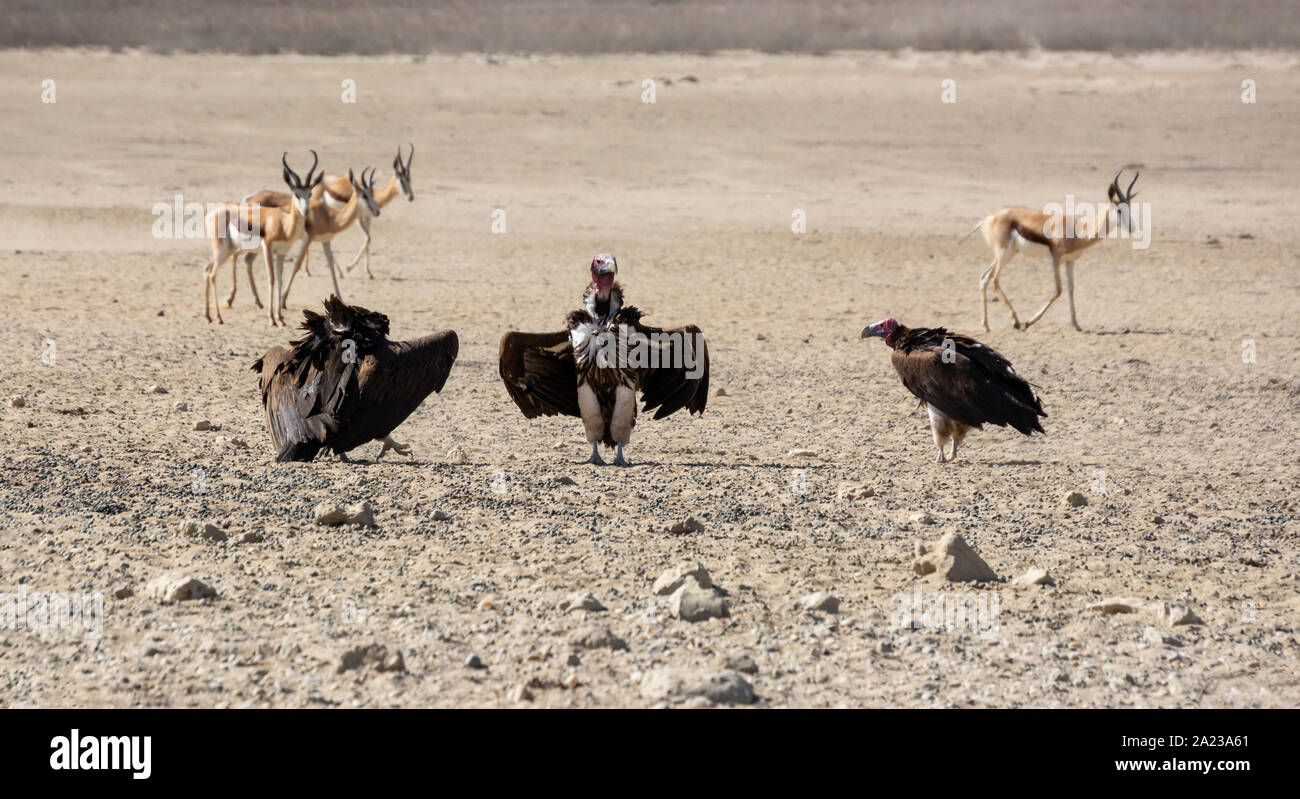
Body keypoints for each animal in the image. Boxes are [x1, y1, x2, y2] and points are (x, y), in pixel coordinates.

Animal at [202, 152, 321, 326]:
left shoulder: (281, 253)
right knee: (212, 275)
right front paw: (272, 318)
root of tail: (212, 212)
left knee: (206, 270)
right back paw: (218, 317)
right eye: (296, 194)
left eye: (310, 193)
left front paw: (281, 318)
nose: (306, 211)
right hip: (222, 249)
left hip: (227, 250)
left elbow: (280, 279)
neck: (283, 223)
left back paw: (208, 316)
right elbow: (271, 279)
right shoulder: (268, 248)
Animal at [963, 170, 1140, 332]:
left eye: (1130, 207)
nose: (1132, 228)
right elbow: (1058, 290)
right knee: (994, 279)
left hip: (1008, 253)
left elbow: (1071, 288)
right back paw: (1017, 321)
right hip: (1003, 253)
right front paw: (1029, 322)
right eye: (1119, 210)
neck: (1078, 230)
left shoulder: (1070, 261)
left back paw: (986, 325)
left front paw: (1076, 324)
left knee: (984, 278)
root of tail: (986, 218)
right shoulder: (1055, 258)